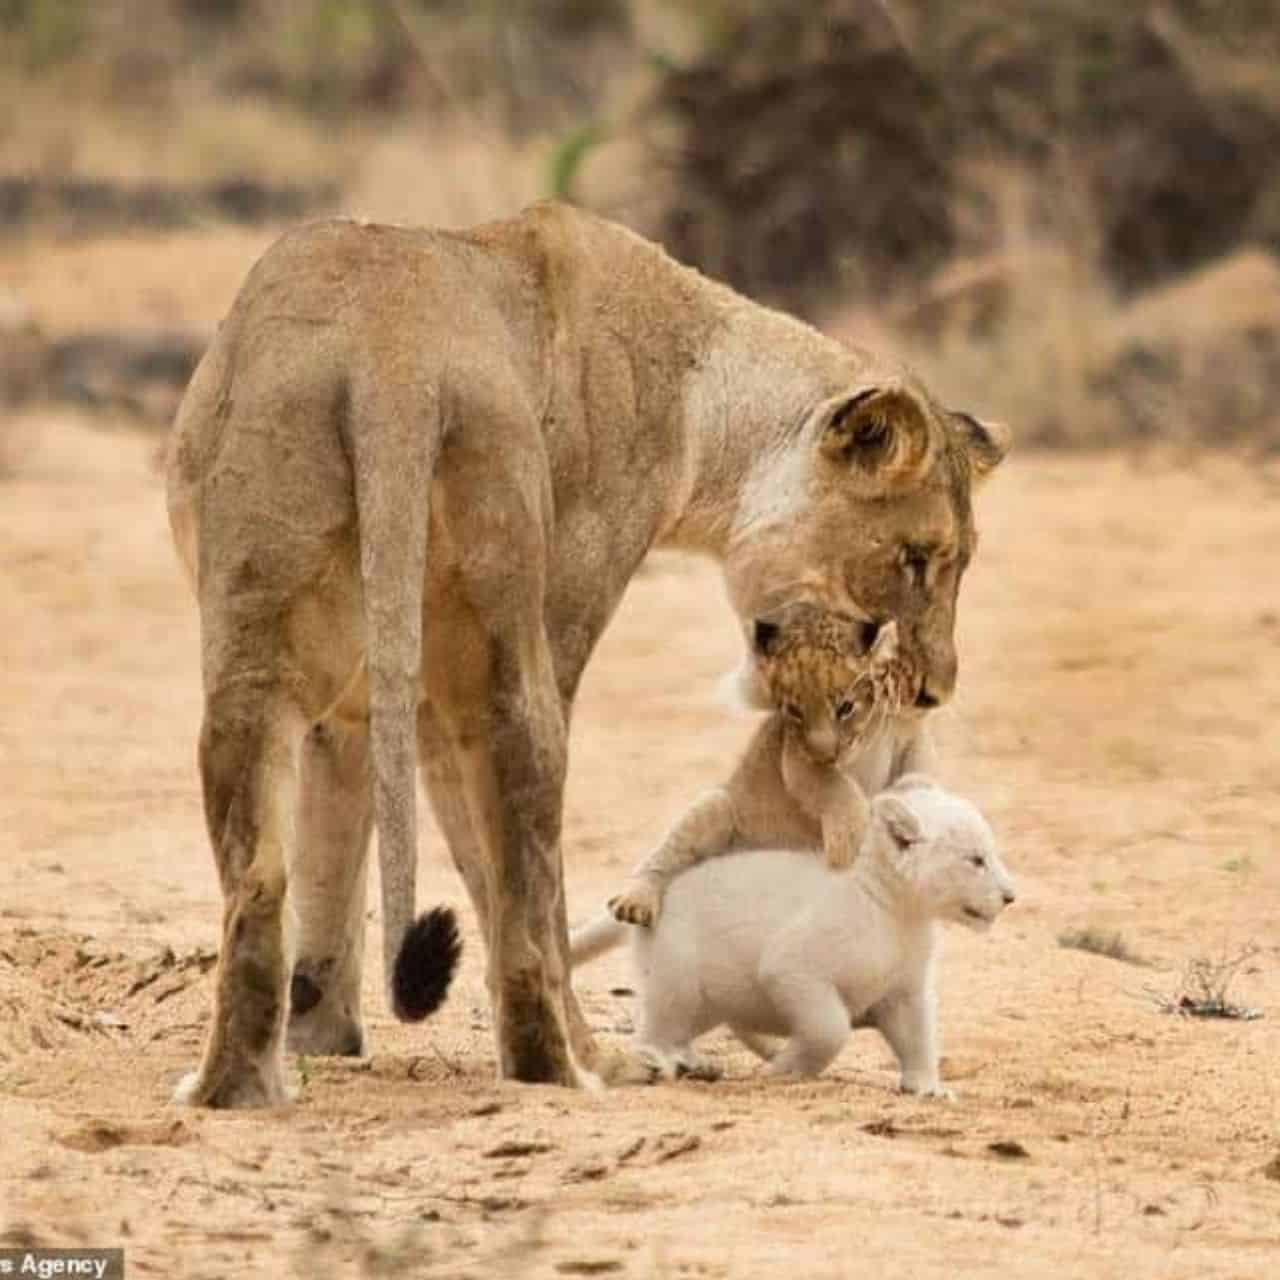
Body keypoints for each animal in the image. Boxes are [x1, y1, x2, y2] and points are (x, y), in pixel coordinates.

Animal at [587, 776, 1017, 1091]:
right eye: (976, 860)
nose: (1010, 896)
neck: (900, 914)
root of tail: (656, 895)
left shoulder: (905, 990)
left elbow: (919, 1036)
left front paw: (928, 1088)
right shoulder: (792, 966)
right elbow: (831, 1027)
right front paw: (784, 1070)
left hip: (709, 999)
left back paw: (699, 1062)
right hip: (677, 985)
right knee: (652, 1032)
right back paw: (664, 1063)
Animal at [604, 607, 915, 933]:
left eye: (846, 708)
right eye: (794, 712)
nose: (825, 754)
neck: (864, 745)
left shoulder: (905, 737)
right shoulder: (794, 760)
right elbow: (836, 787)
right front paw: (848, 845)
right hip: (716, 806)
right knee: (662, 857)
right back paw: (635, 902)